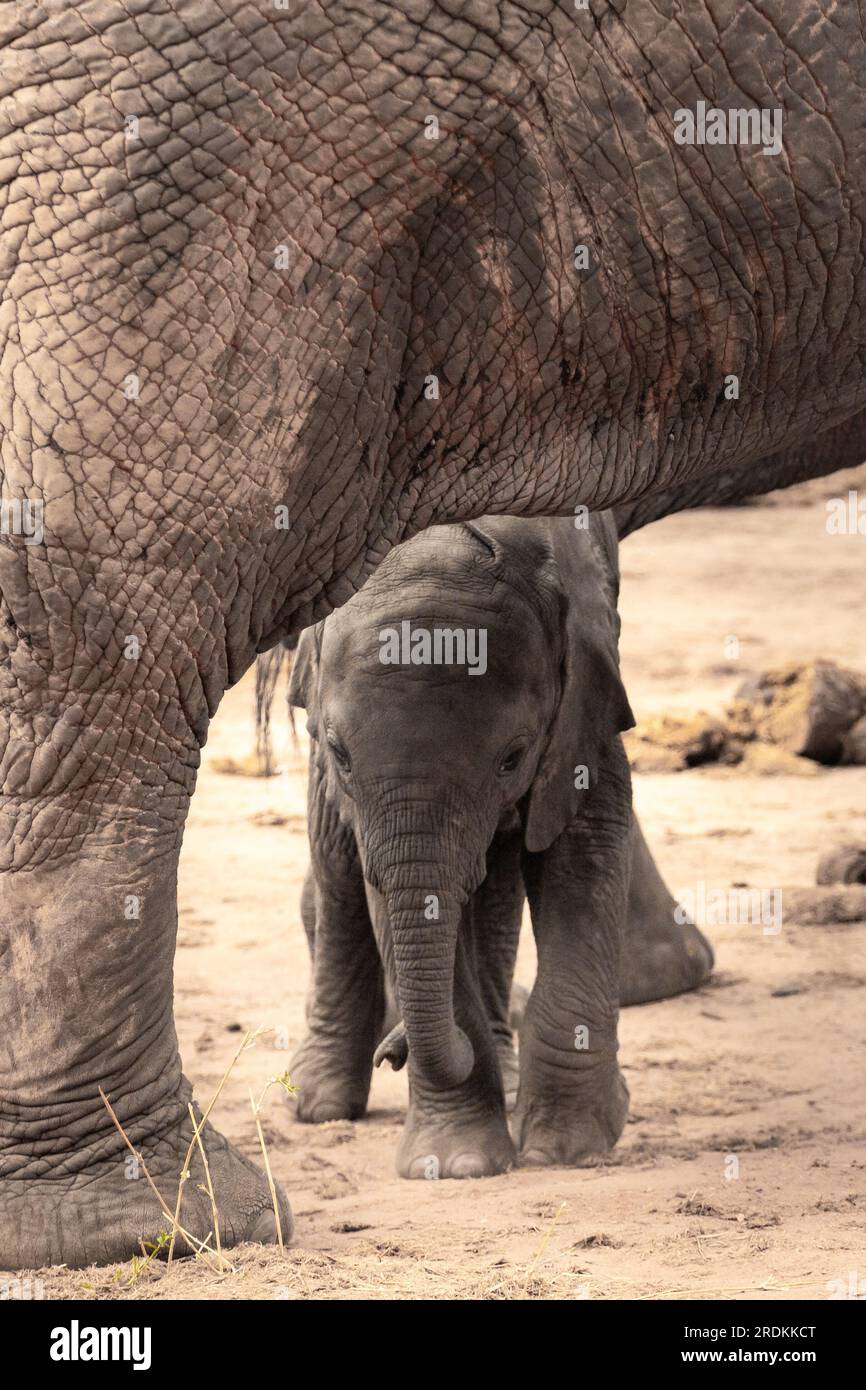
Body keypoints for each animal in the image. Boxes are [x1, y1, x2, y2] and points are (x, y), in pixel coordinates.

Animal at [287, 512, 713, 1177]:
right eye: (341, 753)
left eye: (511, 757)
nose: (394, 1053)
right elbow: (382, 888)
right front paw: (456, 1164)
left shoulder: (583, 692)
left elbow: (584, 857)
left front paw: (570, 1149)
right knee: (336, 867)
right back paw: (321, 1105)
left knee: (495, 892)